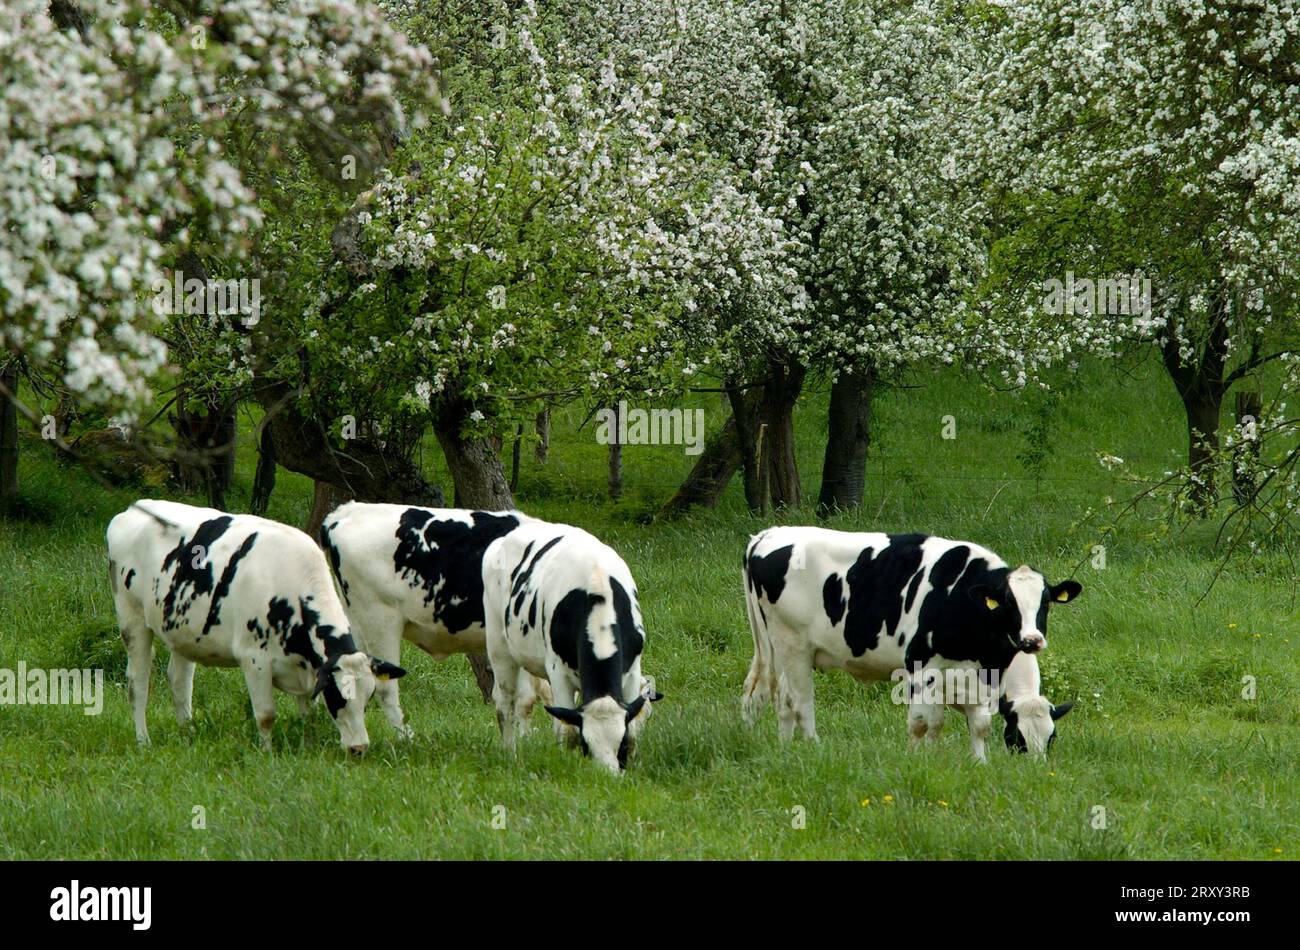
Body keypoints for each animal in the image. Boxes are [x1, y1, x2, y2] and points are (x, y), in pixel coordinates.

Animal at [106, 500, 405, 753]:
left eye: (369, 697)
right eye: (338, 696)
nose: (359, 748)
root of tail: (133, 509)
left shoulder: (305, 667)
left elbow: (307, 714)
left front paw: (306, 745)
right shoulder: (254, 659)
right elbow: (265, 715)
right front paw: (266, 753)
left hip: (182, 632)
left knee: (179, 682)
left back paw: (188, 734)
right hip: (132, 620)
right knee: (138, 683)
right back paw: (143, 741)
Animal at [319, 502, 551, 736]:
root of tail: (346, 511)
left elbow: (529, 697)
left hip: (355, 621)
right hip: (379, 620)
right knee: (386, 689)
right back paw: (406, 737)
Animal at [481, 520, 661, 773]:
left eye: (621, 743)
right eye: (587, 745)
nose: (608, 776)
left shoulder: (633, 671)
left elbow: (634, 726)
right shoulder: (558, 674)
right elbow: (567, 731)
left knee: (524, 700)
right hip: (498, 642)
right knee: (505, 701)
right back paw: (509, 753)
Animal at [741, 527, 1081, 762]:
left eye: (1046, 603)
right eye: (1009, 603)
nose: (1032, 639)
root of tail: (770, 533)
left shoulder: (976, 679)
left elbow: (969, 724)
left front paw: (975, 763)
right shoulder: (921, 666)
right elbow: (921, 722)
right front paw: (915, 760)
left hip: (781, 648)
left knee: (773, 697)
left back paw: (784, 748)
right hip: (793, 643)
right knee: (799, 702)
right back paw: (815, 748)